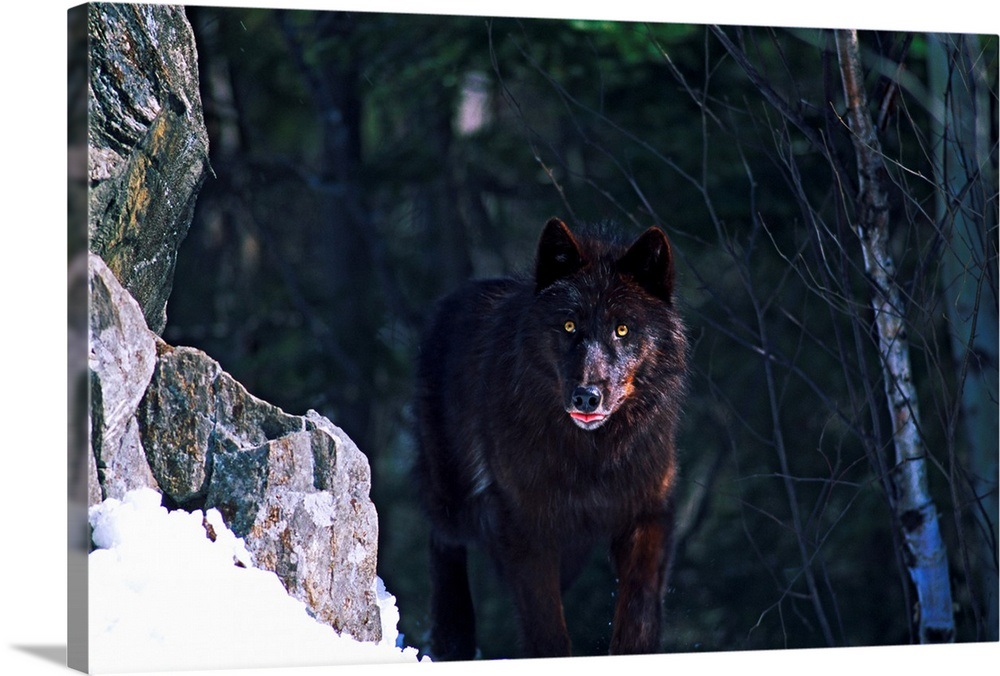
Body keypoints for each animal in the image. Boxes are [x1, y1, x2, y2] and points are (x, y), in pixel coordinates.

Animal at [414, 217, 688, 660]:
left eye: (622, 329)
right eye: (569, 325)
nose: (587, 396)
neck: (592, 456)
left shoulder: (648, 512)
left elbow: (640, 608)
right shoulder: (528, 526)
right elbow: (545, 628)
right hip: (455, 502)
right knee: (442, 541)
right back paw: (452, 638)